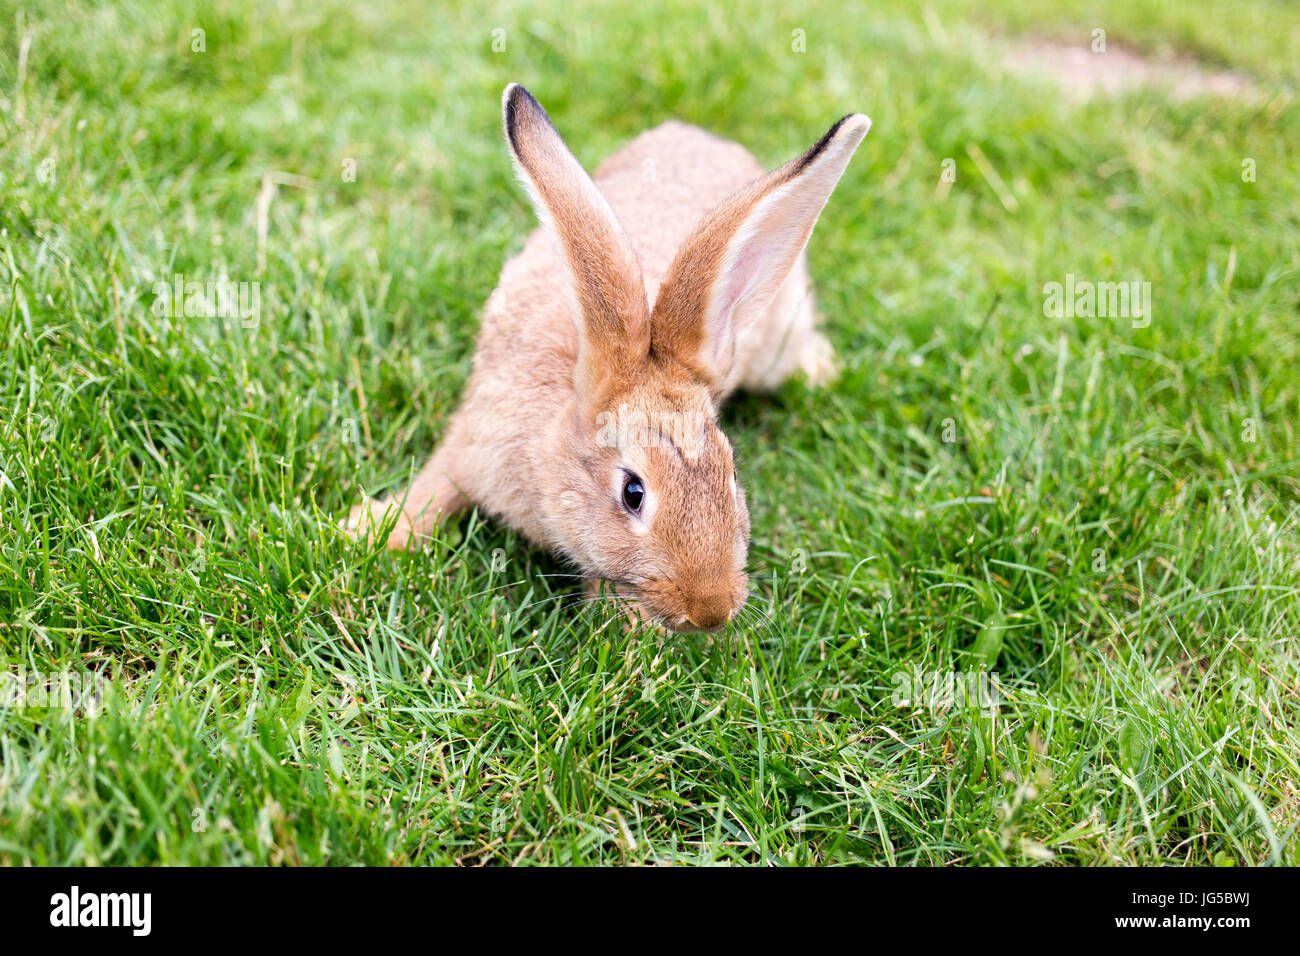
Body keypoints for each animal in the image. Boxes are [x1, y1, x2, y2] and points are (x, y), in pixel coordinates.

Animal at [346, 84, 870, 632]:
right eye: (632, 493)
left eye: (731, 476)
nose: (711, 610)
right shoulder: (473, 437)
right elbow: (437, 483)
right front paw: (369, 529)